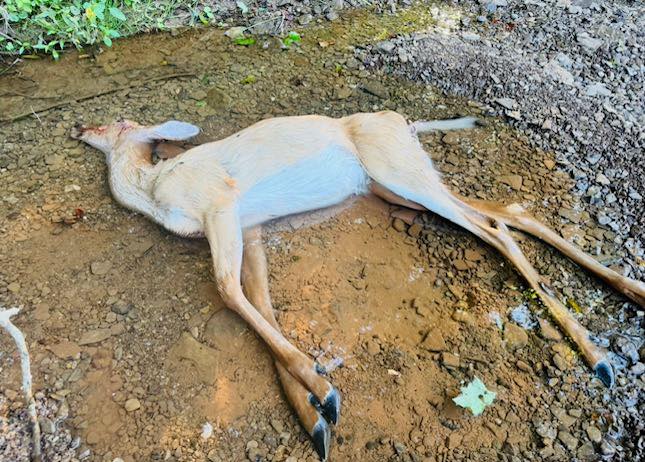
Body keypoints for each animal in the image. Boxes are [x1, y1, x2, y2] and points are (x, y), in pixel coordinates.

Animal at [70, 111, 644, 461]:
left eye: (119, 122)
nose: (79, 127)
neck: (155, 192)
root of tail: (405, 122)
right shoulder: (250, 226)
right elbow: (261, 304)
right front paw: (315, 415)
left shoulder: (222, 204)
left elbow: (227, 291)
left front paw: (323, 388)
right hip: (396, 186)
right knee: (511, 210)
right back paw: (625, 301)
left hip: (397, 171)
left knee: (494, 226)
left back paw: (599, 355)